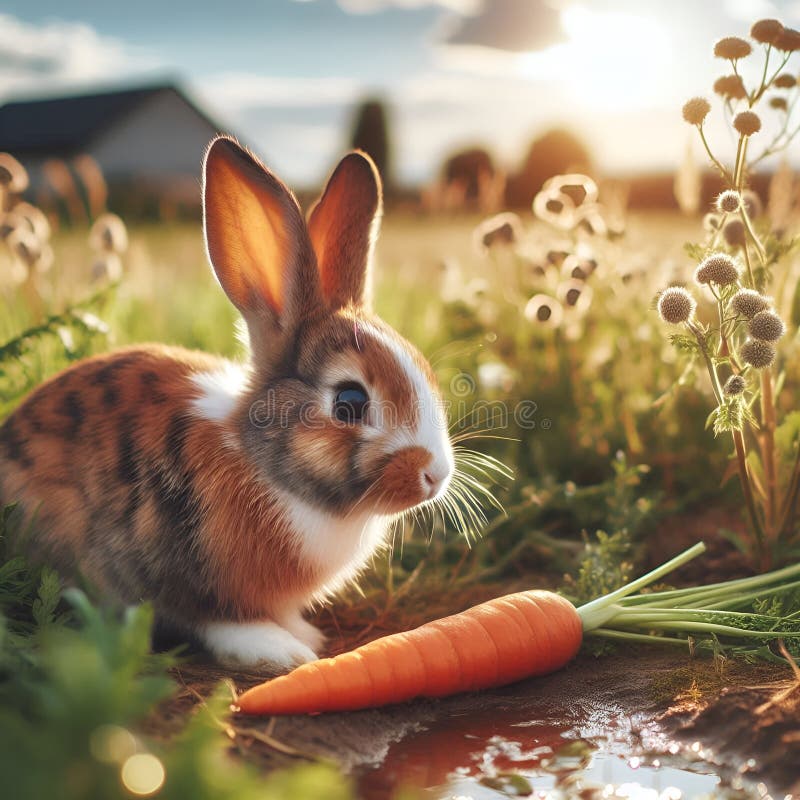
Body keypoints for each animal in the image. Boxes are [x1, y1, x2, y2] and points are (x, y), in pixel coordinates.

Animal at [0, 136, 455, 671]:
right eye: (349, 401)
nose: (436, 474)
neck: (268, 470)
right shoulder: (181, 575)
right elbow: (217, 620)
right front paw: (282, 650)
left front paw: (304, 633)